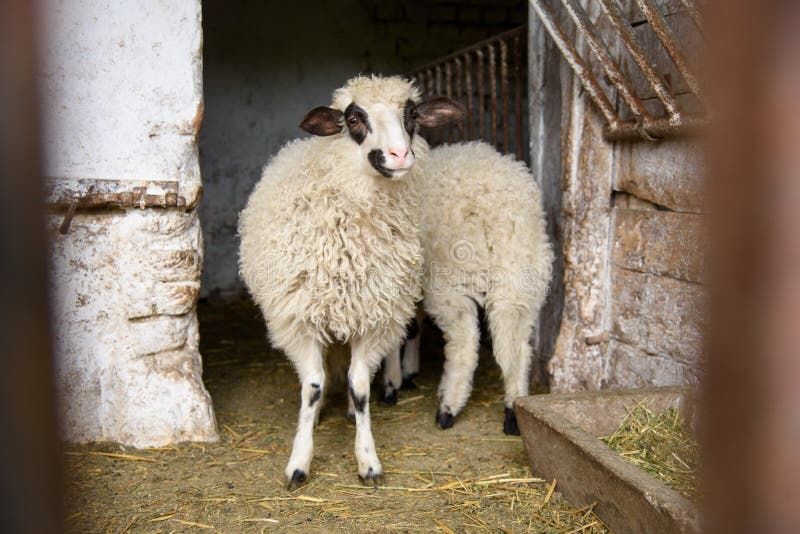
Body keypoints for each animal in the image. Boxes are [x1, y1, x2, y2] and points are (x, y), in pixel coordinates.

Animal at [238, 75, 463, 489]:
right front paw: (298, 462)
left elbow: (360, 389)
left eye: (412, 115)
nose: (399, 155)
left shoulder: (373, 319)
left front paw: (368, 461)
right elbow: (311, 387)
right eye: (355, 119)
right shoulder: (300, 319)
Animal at [383, 141, 553, 435]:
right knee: (518, 346)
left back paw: (448, 407)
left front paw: (392, 382)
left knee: (464, 345)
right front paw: (407, 373)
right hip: (524, 276)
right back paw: (512, 410)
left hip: (453, 277)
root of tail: (502, 212)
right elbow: (413, 325)